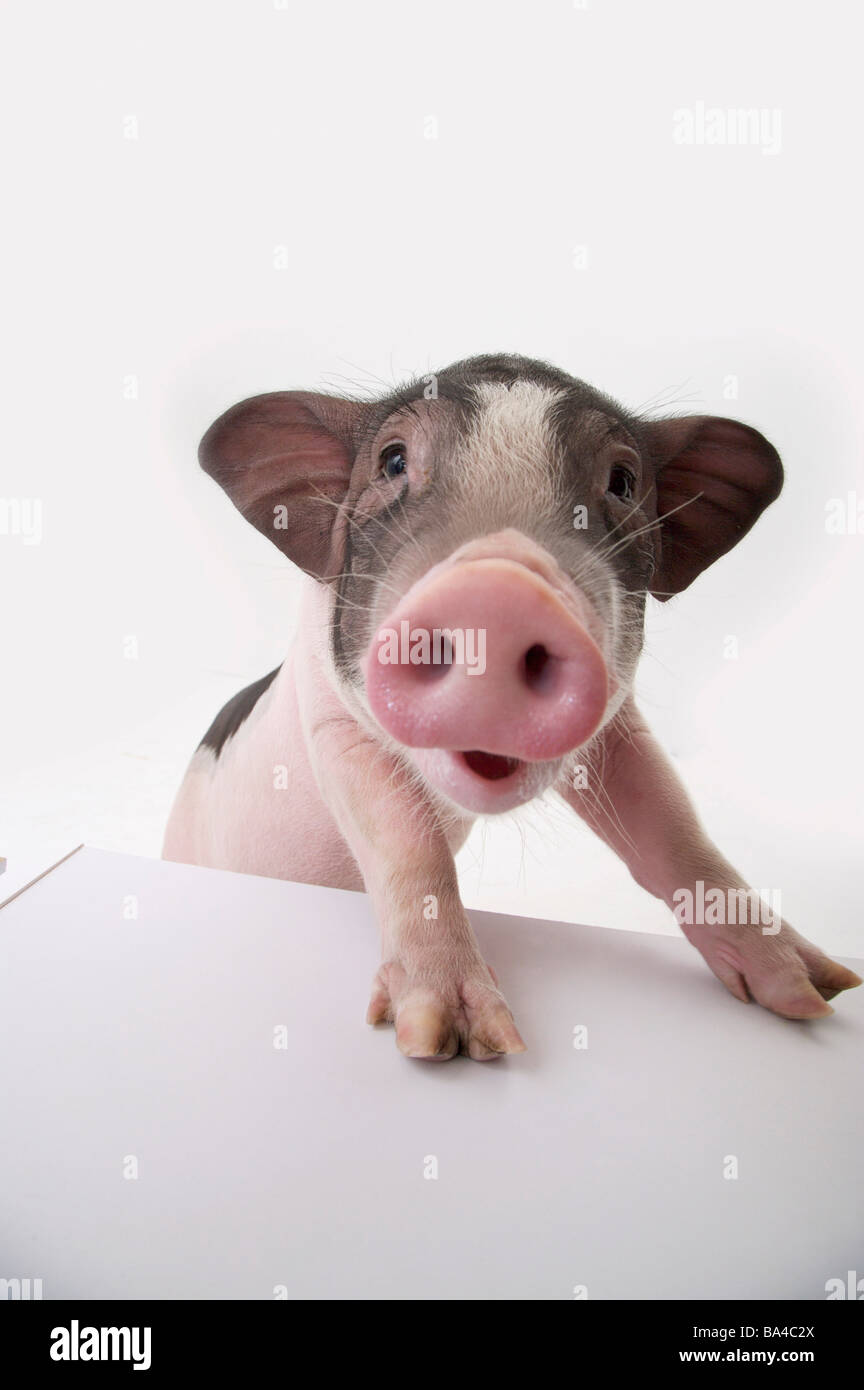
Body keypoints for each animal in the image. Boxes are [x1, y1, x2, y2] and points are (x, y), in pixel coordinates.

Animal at [163, 353, 861, 1060]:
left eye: (623, 481)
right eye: (392, 461)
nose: (498, 590)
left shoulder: (615, 733)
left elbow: (671, 826)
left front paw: (817, 994)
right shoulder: (330, 720)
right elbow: (406, 842)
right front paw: (447, 1041)